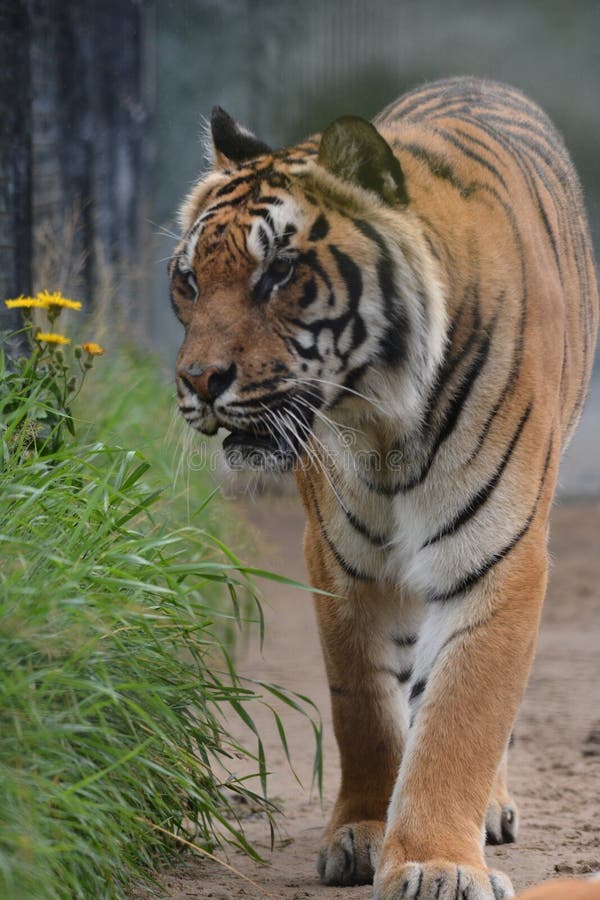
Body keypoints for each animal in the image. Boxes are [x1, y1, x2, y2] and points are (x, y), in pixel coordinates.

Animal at [169, 77, 598, 899]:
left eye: (279, 273)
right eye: (189, 279)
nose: (199, 381)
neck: (378, 423)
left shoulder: (497, 557)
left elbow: (463, 714)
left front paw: (436, 861)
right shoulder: (343, 560)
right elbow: (364, 707)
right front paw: (366, 831)